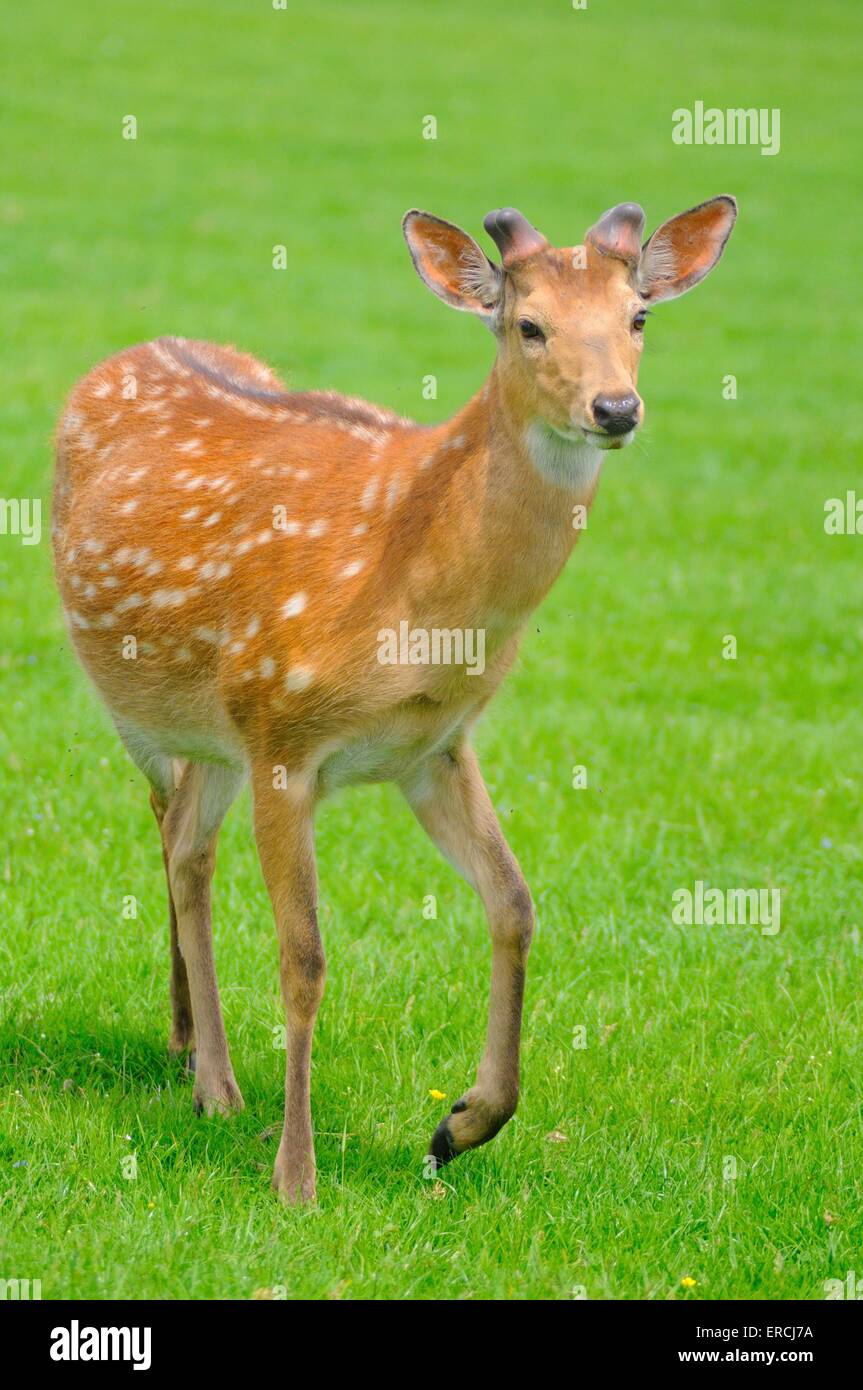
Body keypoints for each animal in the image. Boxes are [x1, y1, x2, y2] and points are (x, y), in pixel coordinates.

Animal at [52, 195, 737, 1203]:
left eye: (638, 318)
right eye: (528, 326)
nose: (615, 407)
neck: (416, 603)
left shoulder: (435, 747)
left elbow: (514, 903)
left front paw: (461, 1124)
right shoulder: (280, 730)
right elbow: (304, 957)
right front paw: (296, 1176)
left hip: (211, 736)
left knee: (181, 843)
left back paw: (195, 1062)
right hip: (144, 706)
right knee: (176, 839)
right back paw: (216, 1082)